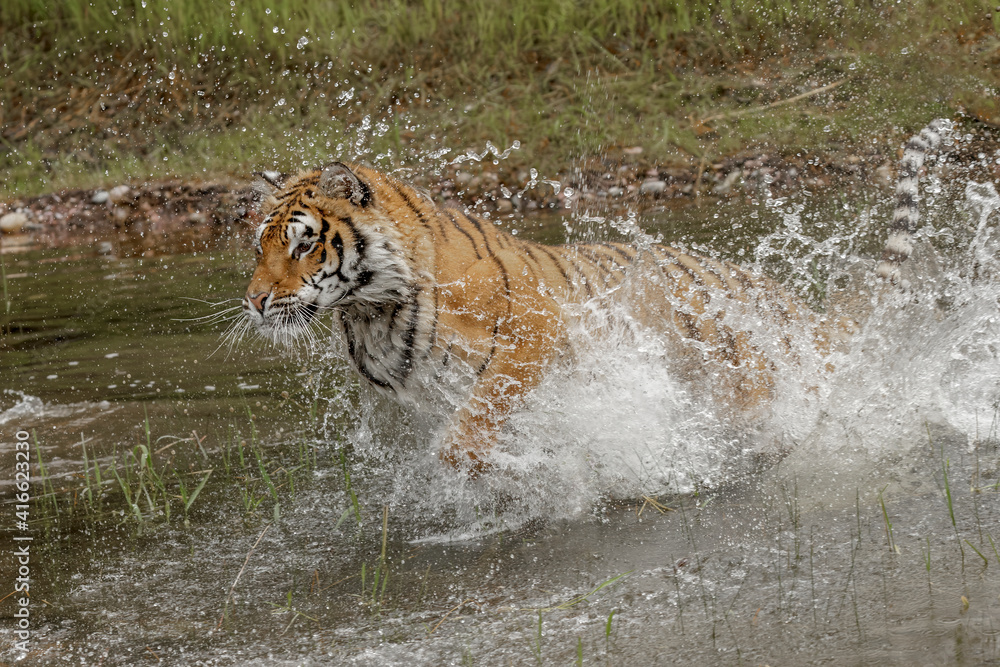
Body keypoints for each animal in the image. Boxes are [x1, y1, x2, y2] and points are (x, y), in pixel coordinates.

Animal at [242, 118, 951, 474]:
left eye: (304, 245)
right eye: (259, 245)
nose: (253, 302)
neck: (370, 309)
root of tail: (801, 313)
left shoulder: (531, 336)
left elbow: (466, 437)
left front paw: (528, 468)